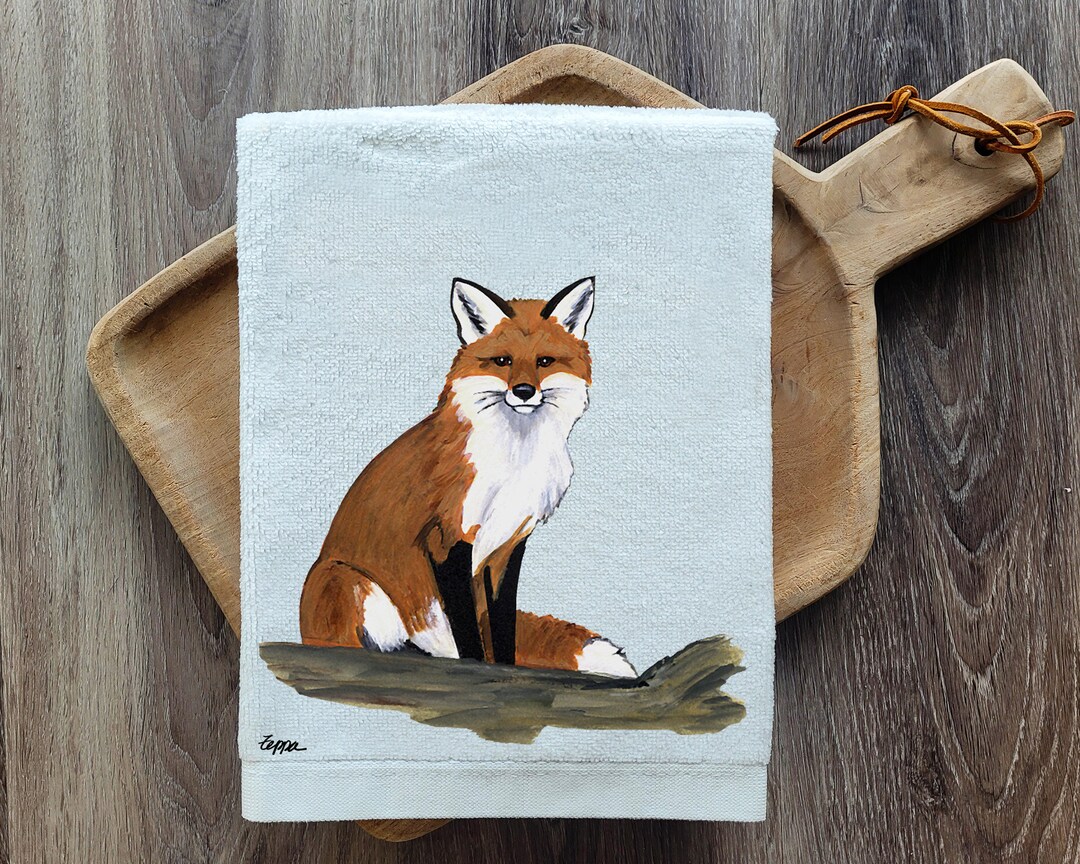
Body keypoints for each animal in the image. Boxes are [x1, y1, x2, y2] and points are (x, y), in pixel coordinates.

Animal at [298, 276, 637, 678]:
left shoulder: (507, 546)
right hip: (348, 581)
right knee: (355, 646)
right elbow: (468, 631)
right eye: (503, 361)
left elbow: (501, 626)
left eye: (544, 362)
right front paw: (476, 667)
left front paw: (505, 669)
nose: (524, 392)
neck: (514, 461)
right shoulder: (448, 539)